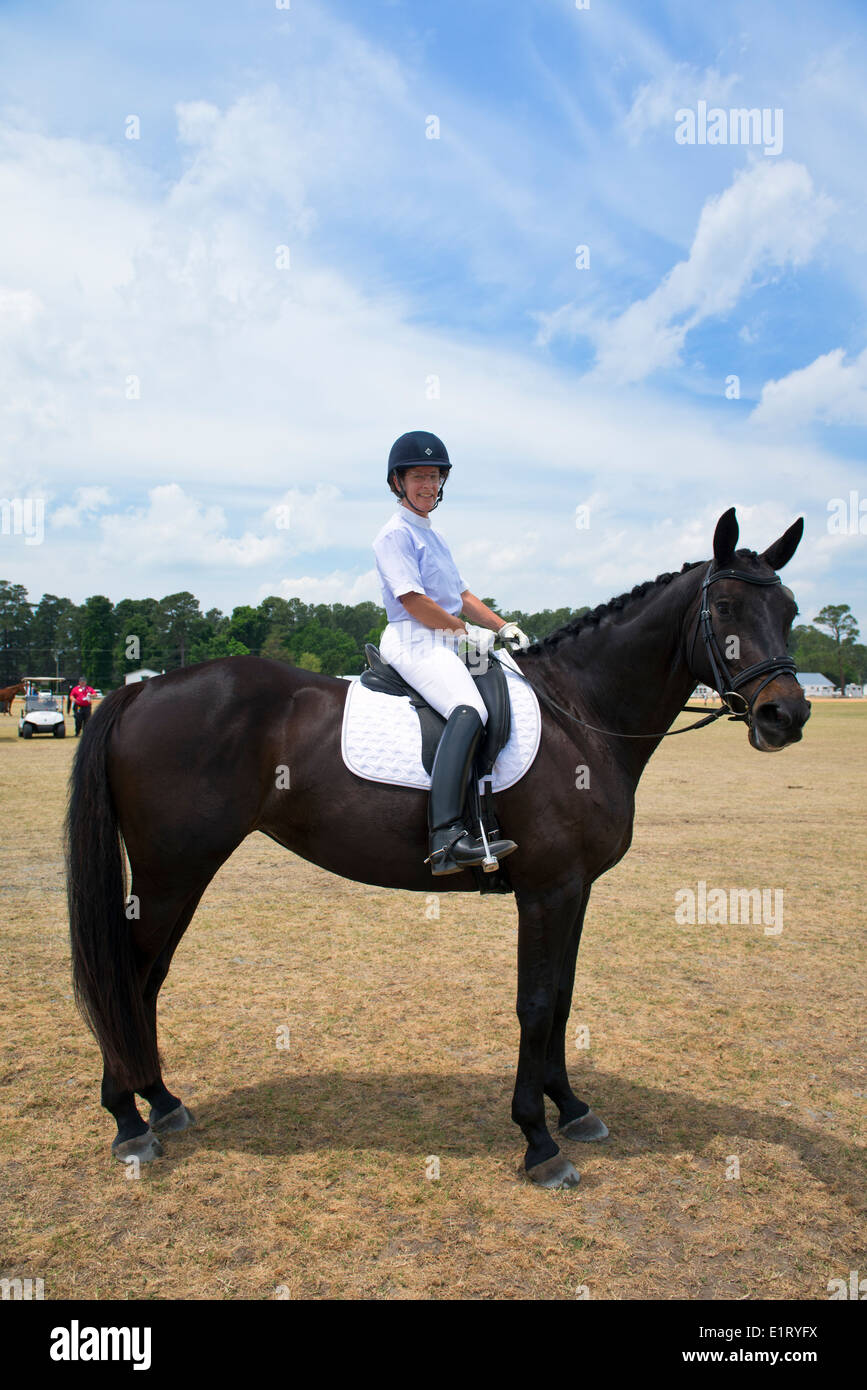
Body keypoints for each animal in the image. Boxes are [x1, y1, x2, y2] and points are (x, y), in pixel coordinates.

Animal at [66, 508, 810, 1188]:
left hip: (181, 876)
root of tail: (141, 691)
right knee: (128, 977)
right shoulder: (547, 890)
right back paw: (129, 1122)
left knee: (148, 978)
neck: (582, 715)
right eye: (724, 606)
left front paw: (571, 1108)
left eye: (789, 609)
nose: (786, 715)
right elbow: (536, 1003)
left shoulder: (576, 889)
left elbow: (563, 997)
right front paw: (538, 1141)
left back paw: (160, 1102)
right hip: (169, 873)